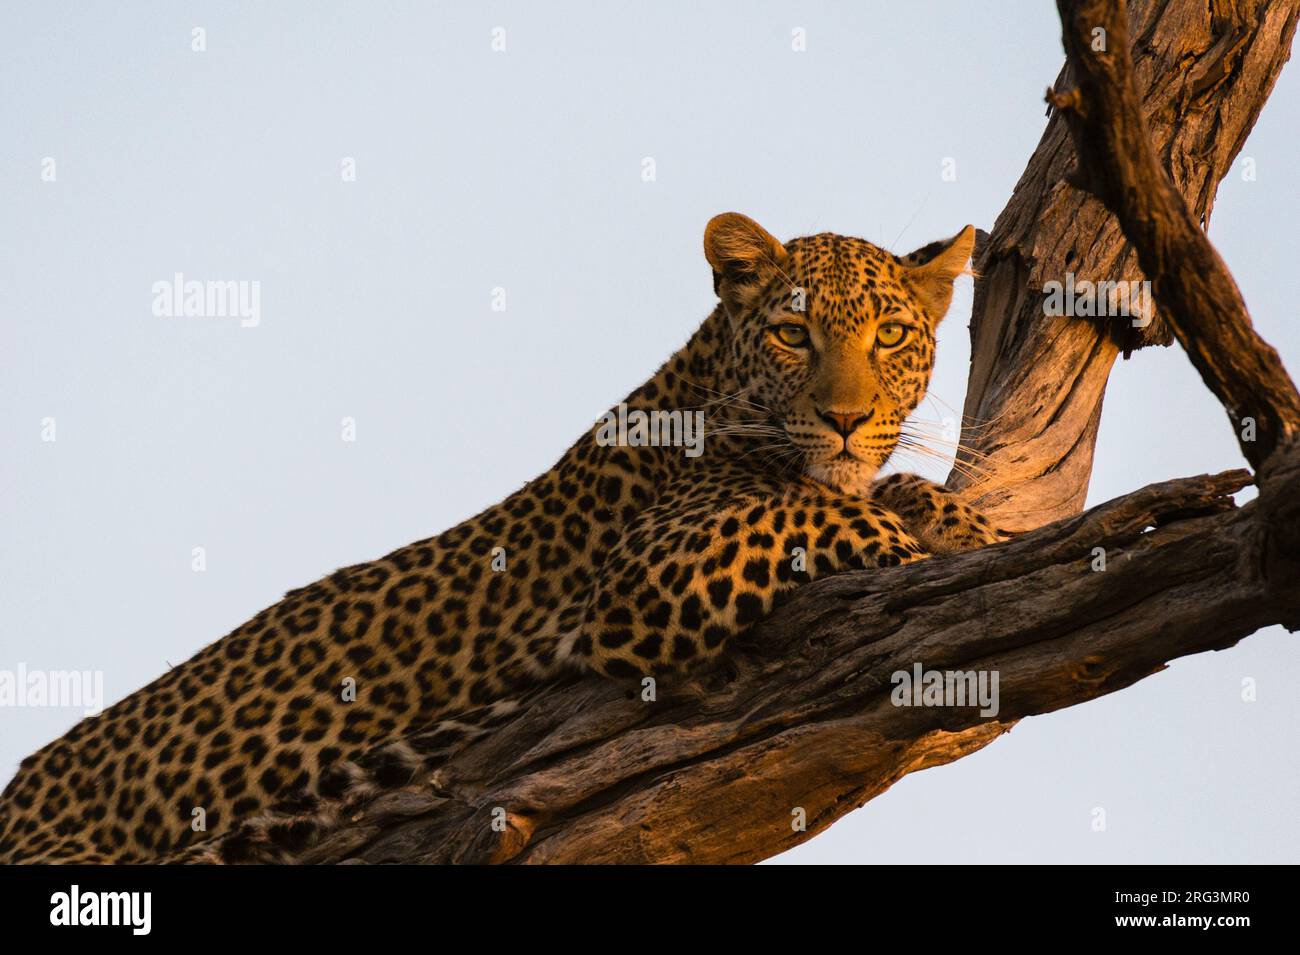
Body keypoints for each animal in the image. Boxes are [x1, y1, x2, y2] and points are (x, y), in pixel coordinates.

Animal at [0, 212, 1004, 863]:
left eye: (892, 336)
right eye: (795, 333)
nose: (846, 420)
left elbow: (897, 486)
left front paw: (965, 519)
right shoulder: (645, 571)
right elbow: (815, 509)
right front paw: (915, 540)